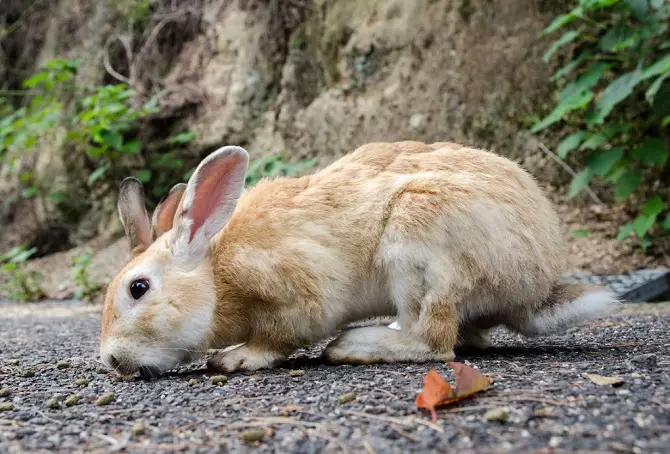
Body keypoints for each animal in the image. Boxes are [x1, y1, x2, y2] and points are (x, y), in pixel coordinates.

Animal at [98, 140, 620, 374]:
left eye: (138, 289)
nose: (112, 360)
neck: (215, 274)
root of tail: (539, 277)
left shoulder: (299, 298)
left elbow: (279, 337)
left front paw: (235, 358)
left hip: (418, 241)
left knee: (434, 341)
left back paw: (354, 345)